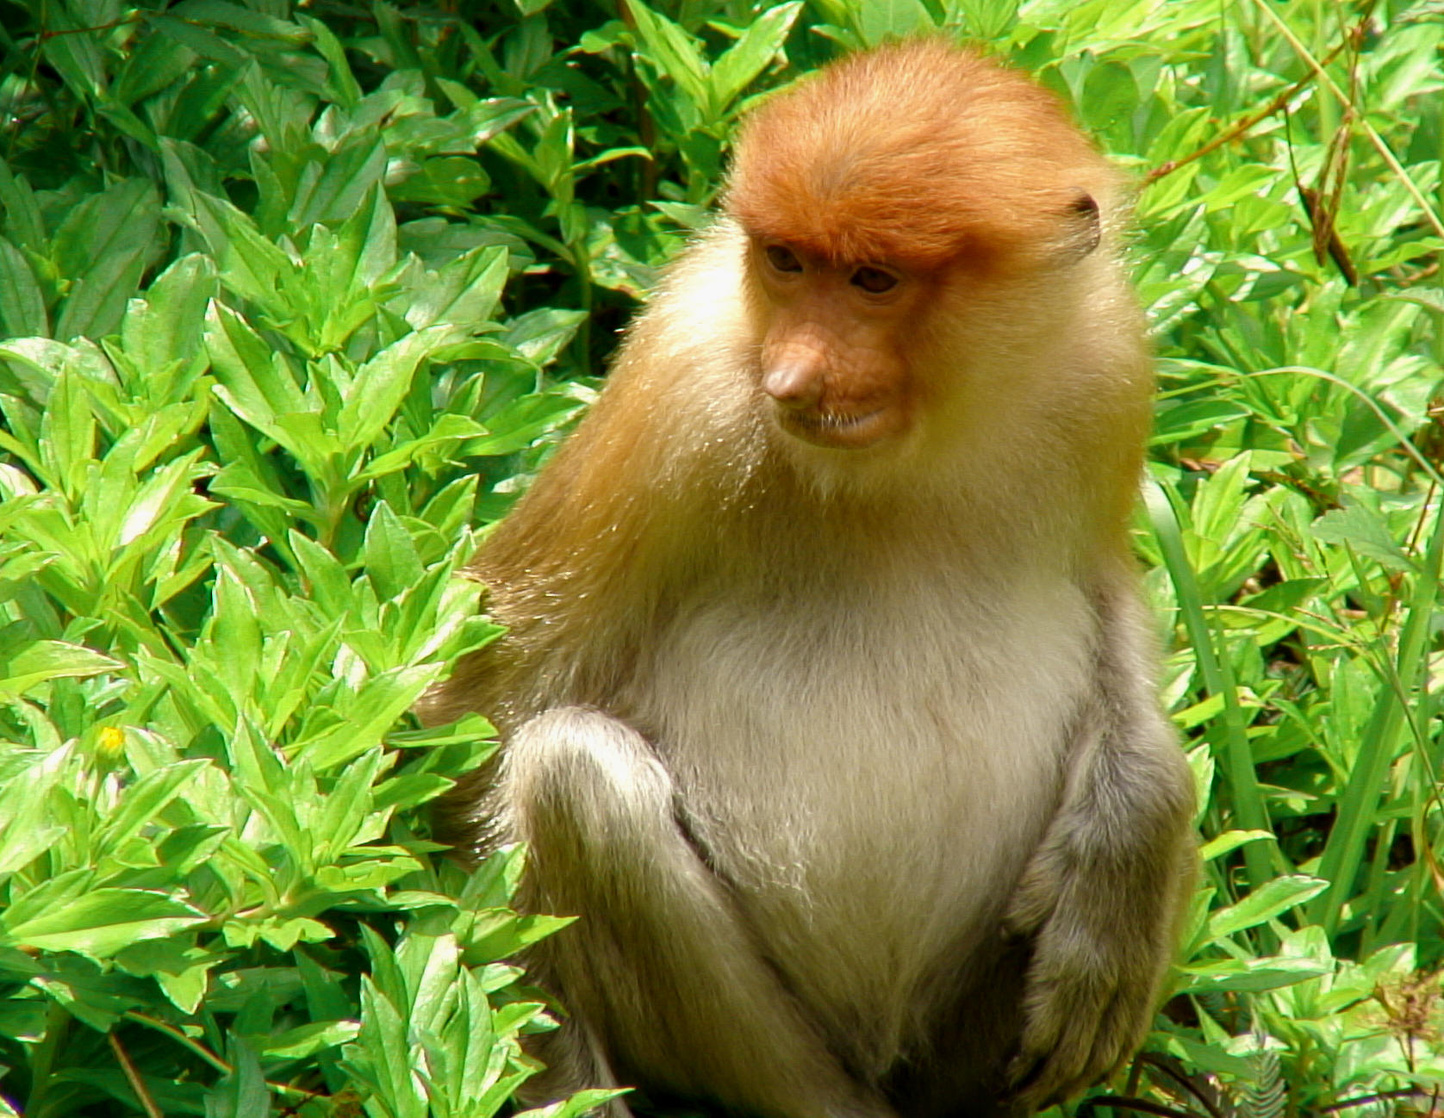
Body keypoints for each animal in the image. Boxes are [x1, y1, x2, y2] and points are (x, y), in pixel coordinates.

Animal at [421, 38, 1196, 1118]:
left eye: (874, 279)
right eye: (786, 262)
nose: (792, 379)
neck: (921, 448)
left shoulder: (1103, 366)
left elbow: (1106, 588)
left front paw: (1126, 848)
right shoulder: (680, 393)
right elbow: (477, 724)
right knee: (575, 774)